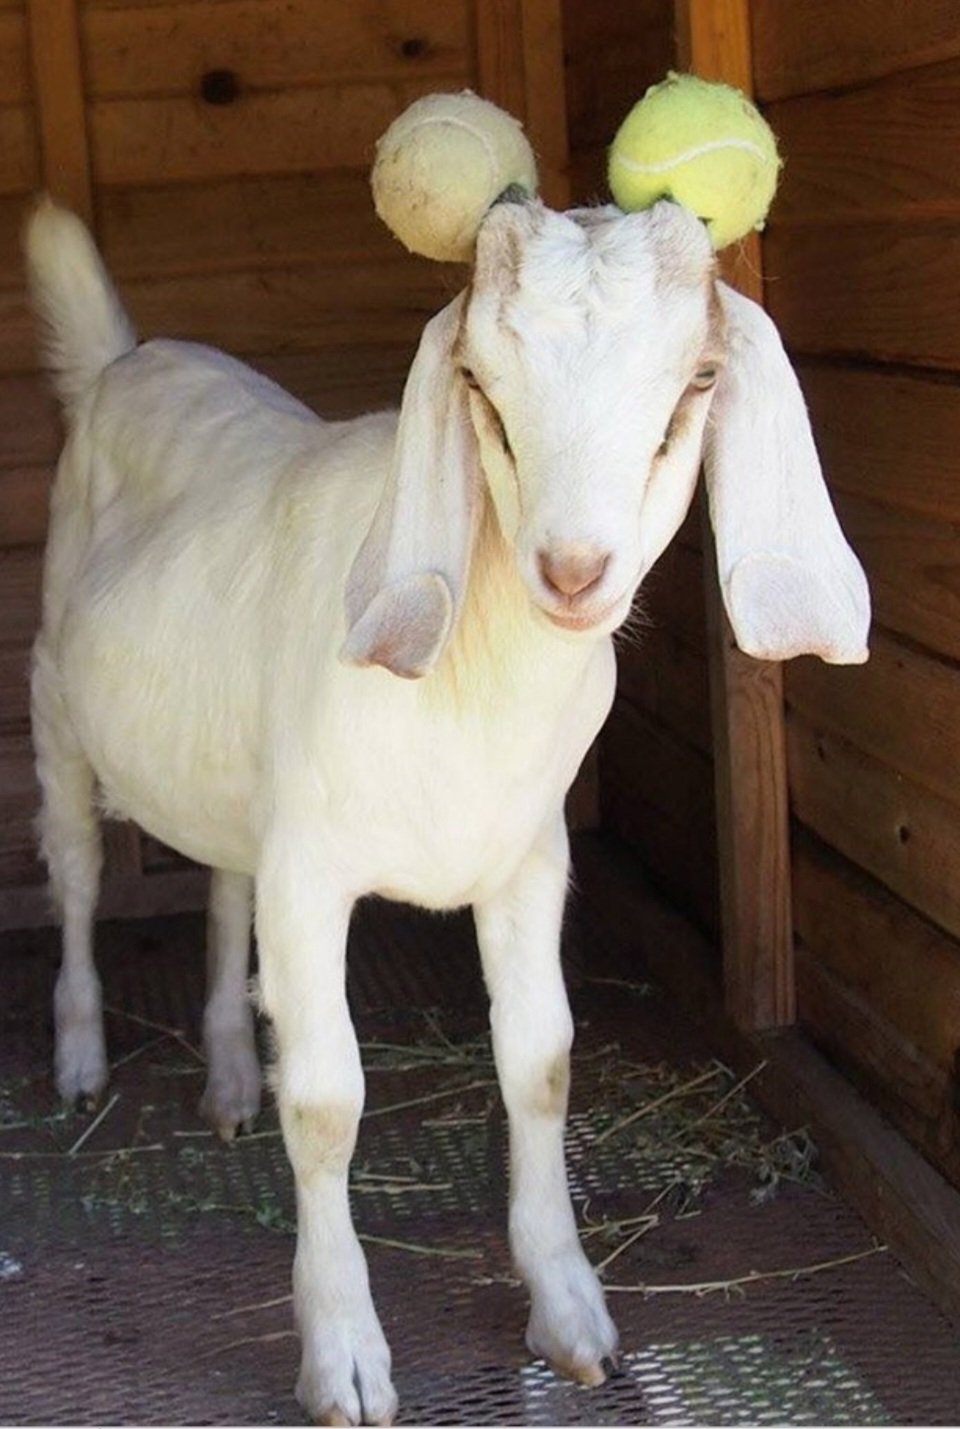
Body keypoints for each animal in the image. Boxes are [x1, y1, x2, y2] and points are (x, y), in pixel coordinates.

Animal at [25, 191, 868, 1426]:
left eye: (699, 380)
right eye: (480, 384)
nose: (574, 568)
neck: (474, 689)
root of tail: (122, 361)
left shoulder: (527, 859)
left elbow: (542, 1060)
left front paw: (570, 1310)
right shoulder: (313, 871)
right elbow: (327, 1103)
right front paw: (345, 1355)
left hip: (229, 774)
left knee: (221, 887)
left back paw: (228, 1074)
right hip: (56, 711)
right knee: (80, 875)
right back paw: (83, 1056)